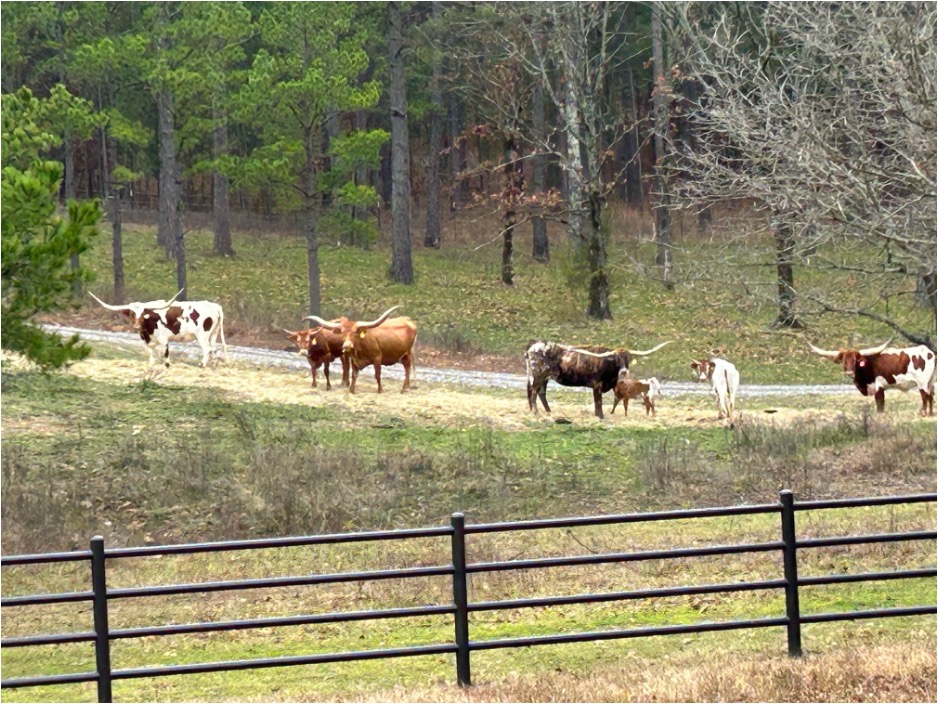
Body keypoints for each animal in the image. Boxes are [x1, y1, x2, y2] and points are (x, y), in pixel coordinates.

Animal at [89, 290, 227, 372]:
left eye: (143, 313)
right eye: (132, 314)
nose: (136, 326)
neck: (146, 331)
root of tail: (214, 306)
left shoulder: (164, 340)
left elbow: (166, 356)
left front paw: (167, 367)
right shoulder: (146, 343)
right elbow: (151, 356)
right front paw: (151, 367)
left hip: (202, 335)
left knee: (207, 349)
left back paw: (202, 365)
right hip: (213, 334)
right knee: (214, 349)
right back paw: (213, 366)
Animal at [525, 340, 671, 419]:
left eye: (628, 359)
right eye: (616, 360)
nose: (624, 371)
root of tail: (533, 347)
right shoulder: (597, 385)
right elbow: (598, 402)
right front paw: (600, 416)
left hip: (544, 378)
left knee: (541, 393)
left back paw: (548, 412)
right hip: (538, 376)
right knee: (534, 391)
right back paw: (536, 412)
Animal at [808, 340, 936, 416]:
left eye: (855, 361)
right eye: (844, 361)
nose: (849, 373)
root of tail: (929, 352)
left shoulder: (878, 386)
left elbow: (880, 404)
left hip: (922, 382)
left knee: (925, 396)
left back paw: (923, 413)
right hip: (931, 382)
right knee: (930, 396)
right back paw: (930, 414)